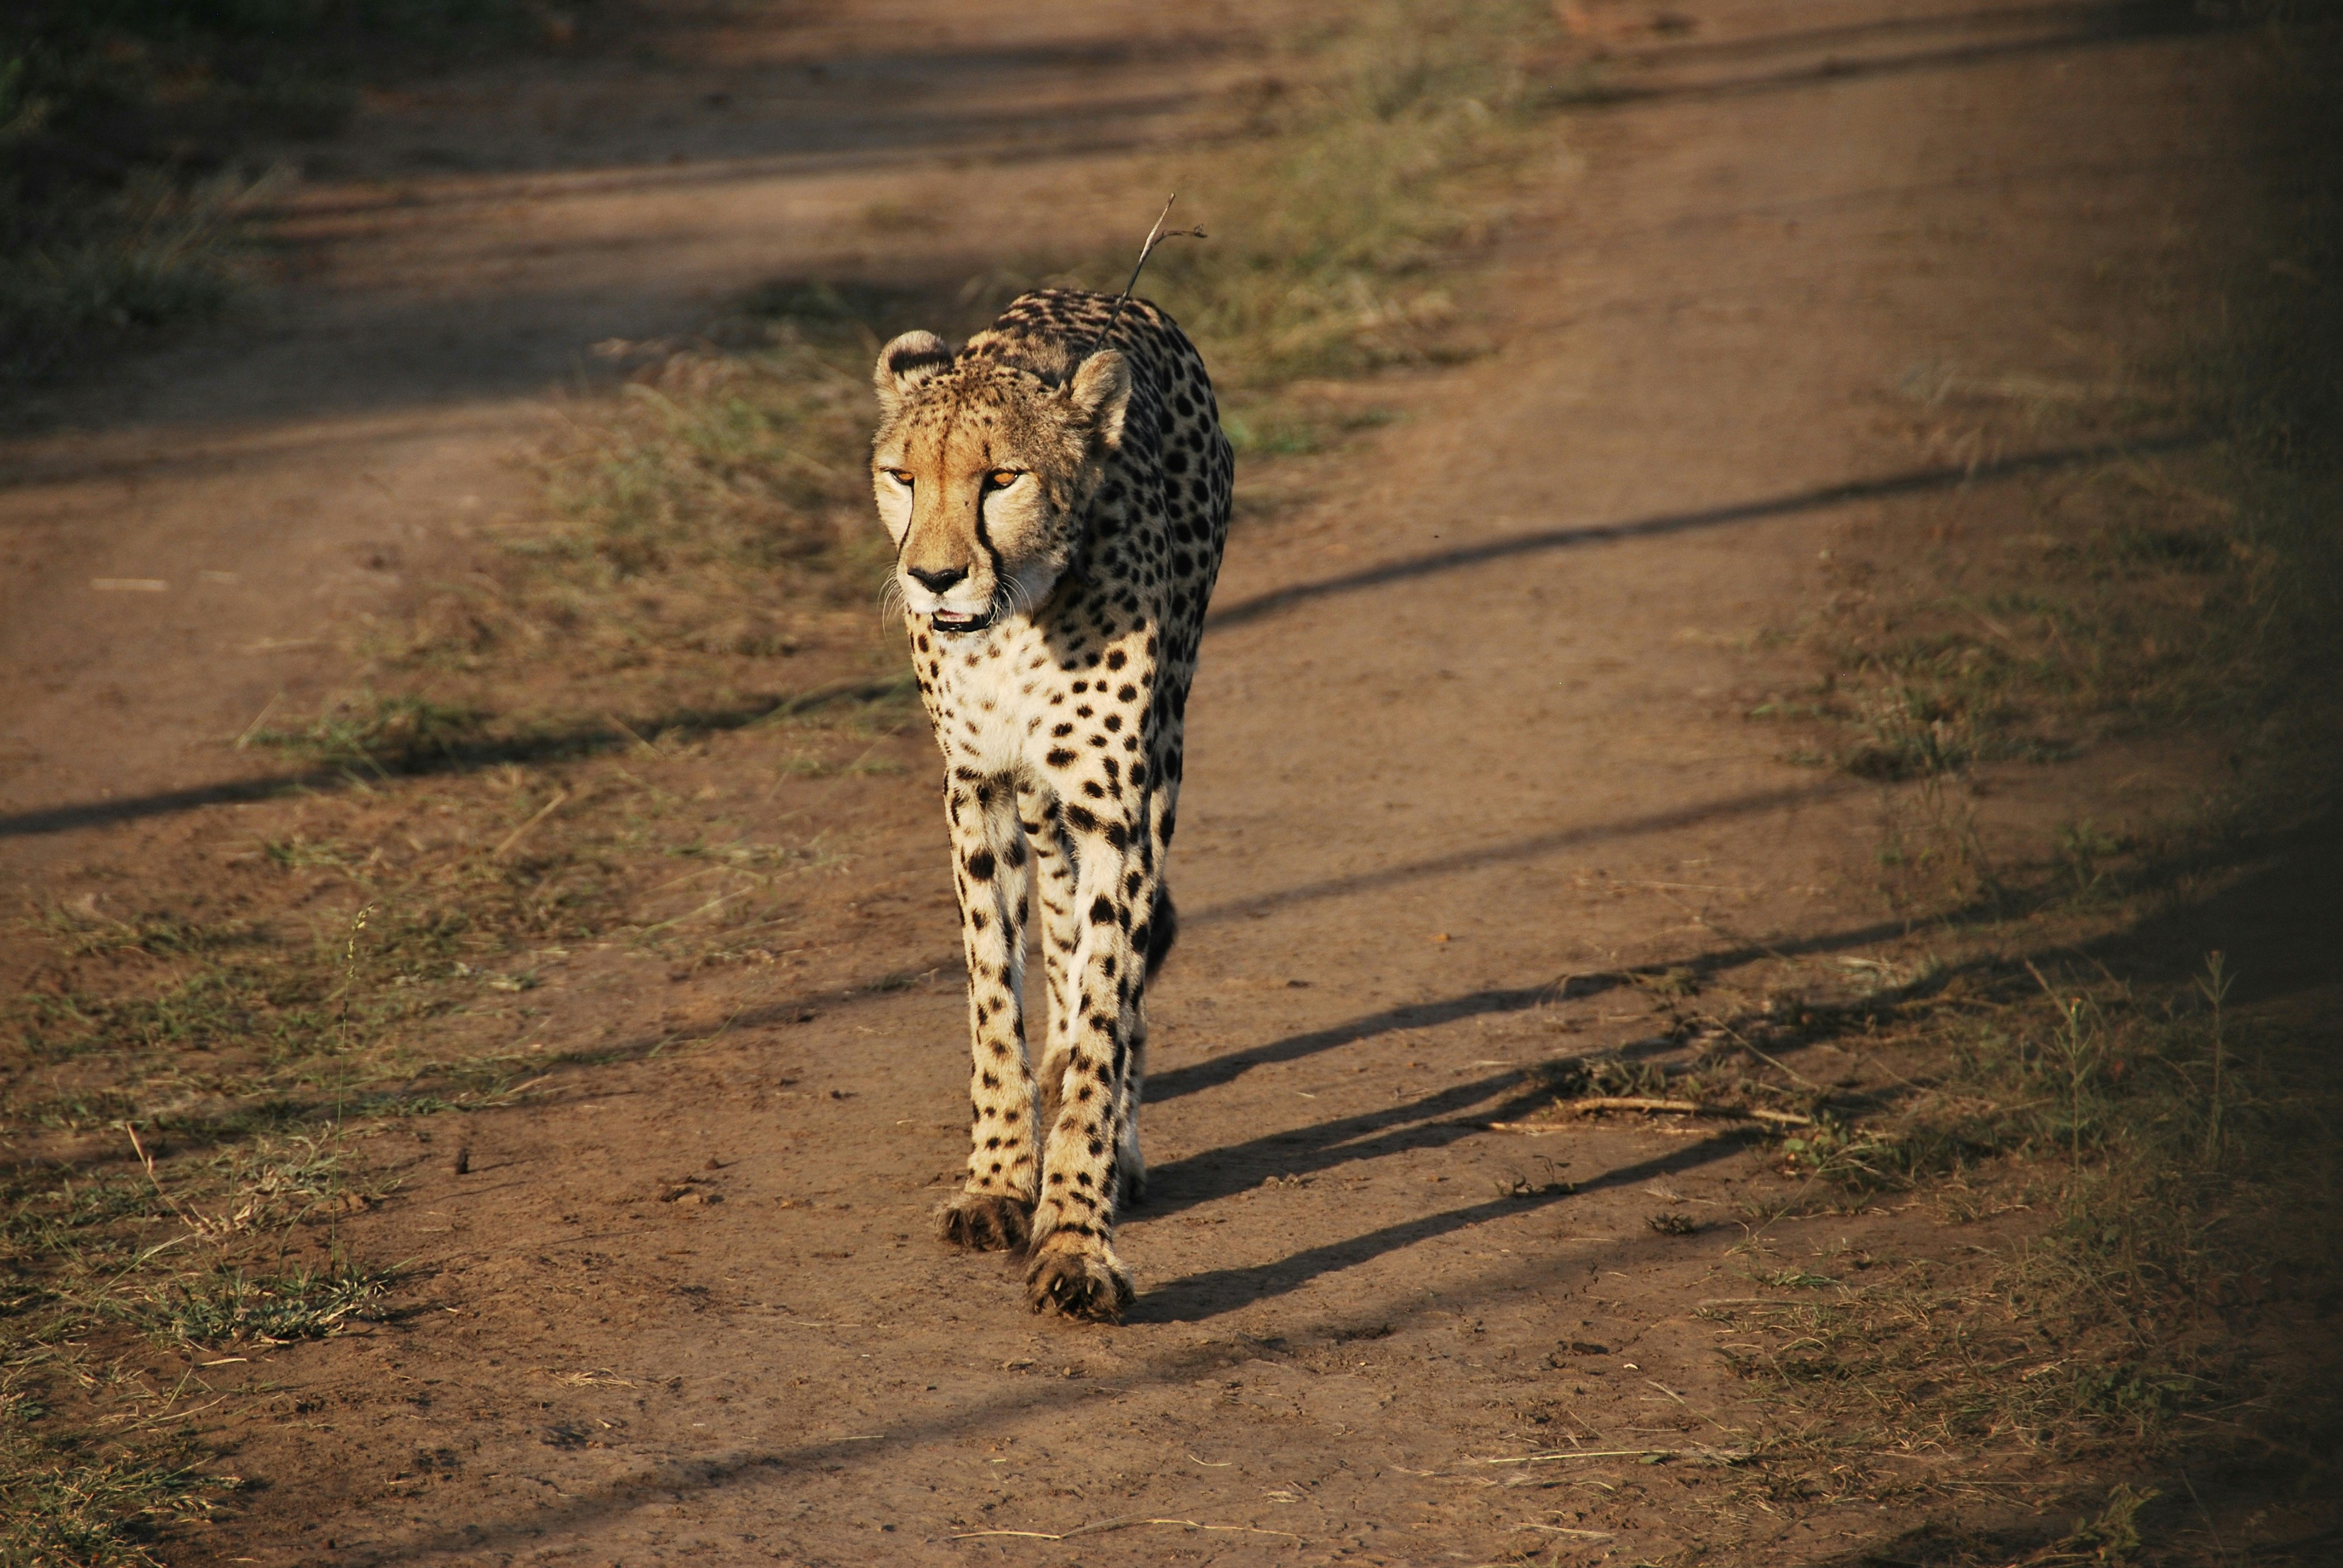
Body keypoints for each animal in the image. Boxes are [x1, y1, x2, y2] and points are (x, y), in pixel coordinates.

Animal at [868, 287, 1233, 1322]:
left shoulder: (1117, 811)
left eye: (1002, 478)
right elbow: (996, 1002)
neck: (1013, 626)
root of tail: (1102, 294)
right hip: (1041, 796)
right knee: (1062, 925)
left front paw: (1076, 1236)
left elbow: (1110, 1006)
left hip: (1164, 751)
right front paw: (997, 1180)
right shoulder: (980, 791)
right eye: (902, 476)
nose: (933, 577)